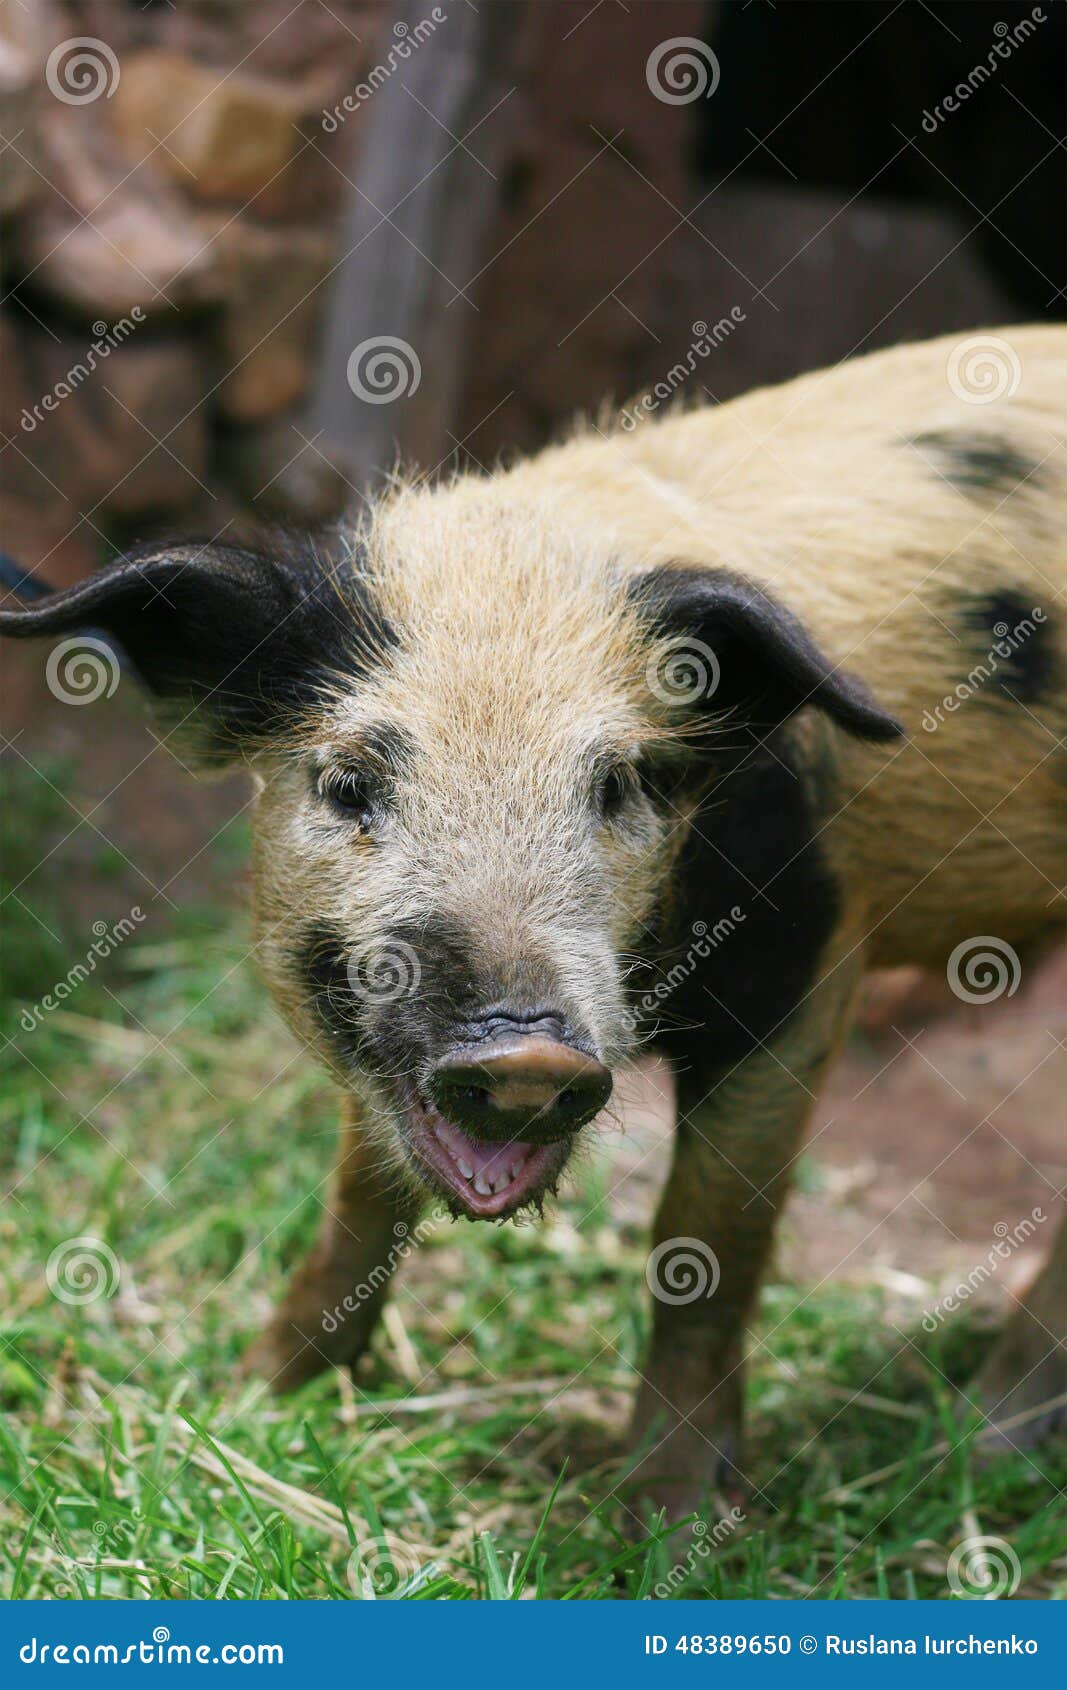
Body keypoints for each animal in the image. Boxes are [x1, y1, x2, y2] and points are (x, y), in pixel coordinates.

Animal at [3, 325, 1065, 1522]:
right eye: (347, 782)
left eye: (617, 786)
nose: (522, 1050)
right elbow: (359, 1195)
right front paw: (254, 1402)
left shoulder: (807, 963)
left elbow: (705, 1240)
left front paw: (665, 1519)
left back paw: (989, 1444)